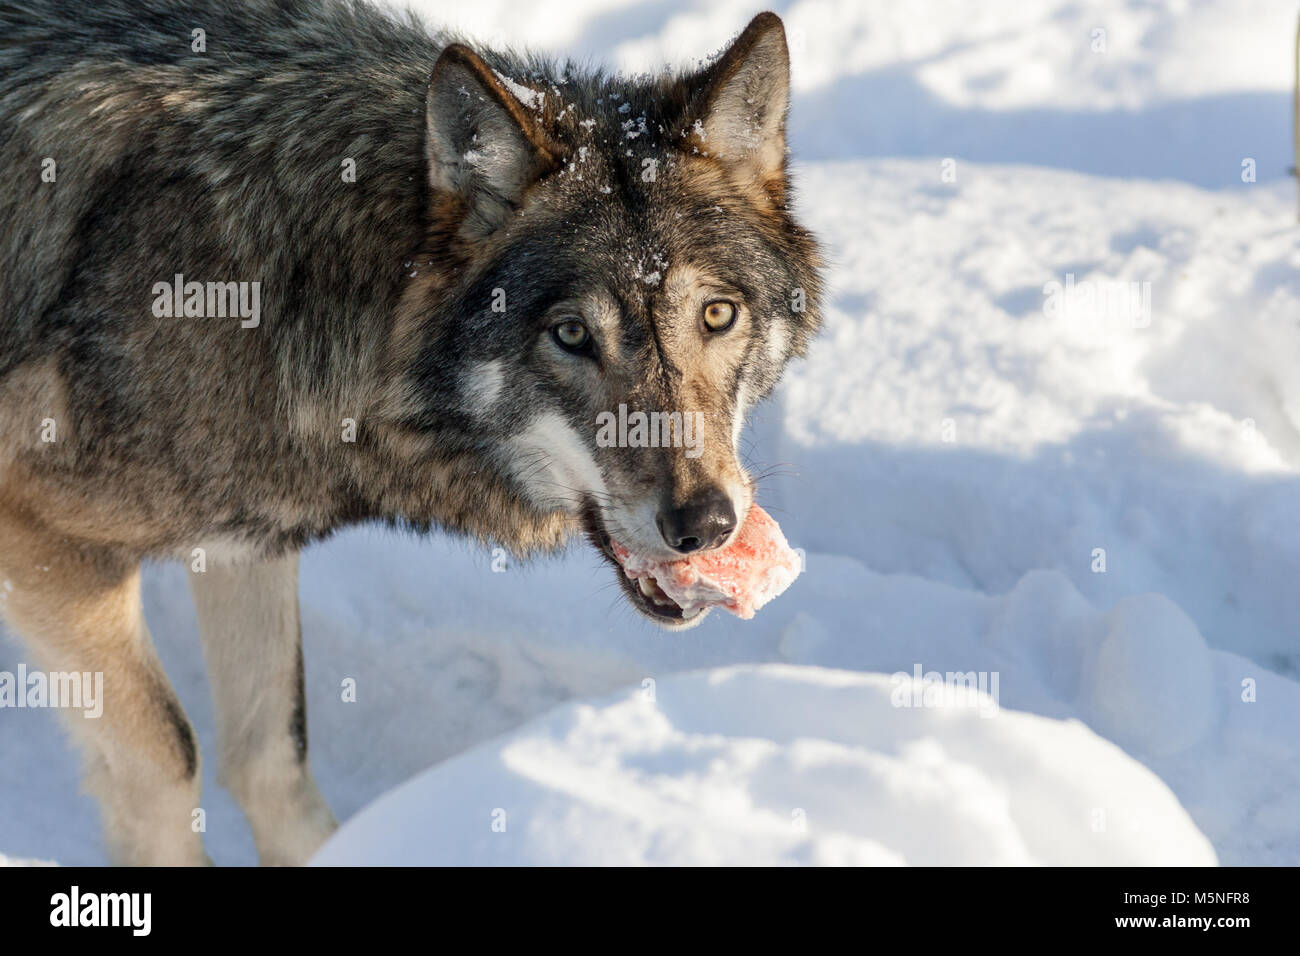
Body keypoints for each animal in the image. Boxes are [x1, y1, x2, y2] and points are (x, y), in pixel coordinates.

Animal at [0, 0, 823, 865]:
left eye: (717, 315)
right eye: (571, 335)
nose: (705, 525)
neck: (276, 290)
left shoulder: (239, 544)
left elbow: (272, 752)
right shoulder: (47, 544)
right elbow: (168, 758)